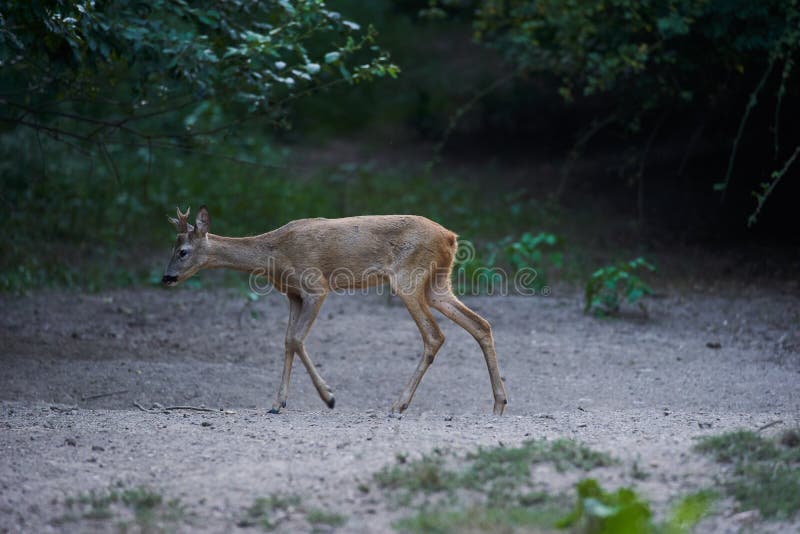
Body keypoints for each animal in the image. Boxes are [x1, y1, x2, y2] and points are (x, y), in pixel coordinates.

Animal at [162, 206, 508, 415]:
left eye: (183, 251)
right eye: (173, 249)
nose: (166, 277)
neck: (274, 254)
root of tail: (451, 237)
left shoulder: (316, 286)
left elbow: (296, 339)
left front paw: (328, 397)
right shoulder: (293, 295)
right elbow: (287, 342)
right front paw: (277, 402)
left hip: (408, 279)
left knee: (435, 335)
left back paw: (398, 404)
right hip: (437, 285)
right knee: (481, 324)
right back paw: (499, 404)